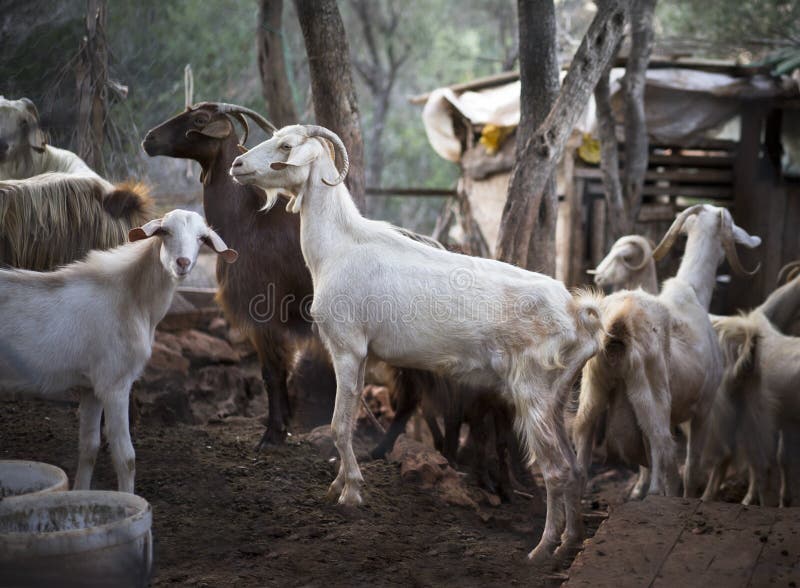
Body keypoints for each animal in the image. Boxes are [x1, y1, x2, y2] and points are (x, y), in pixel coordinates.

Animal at [0, 210, 237, 492]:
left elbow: (89, 447)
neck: (131, 298)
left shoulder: (91, 387)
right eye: (165, 231)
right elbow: (126, 458)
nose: (182, 262)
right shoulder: (114, 384)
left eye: (202, 238)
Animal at [231, 124, 602, 565]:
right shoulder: (360, 355)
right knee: (575, 469)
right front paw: (338, 486)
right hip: (557, 396)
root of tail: (578, 313)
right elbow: (348, 422)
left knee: (556, 469)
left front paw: (351, 493)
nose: (237, 164)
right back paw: (571, 542)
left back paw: (544, 549)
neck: (340, 246)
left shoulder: (347, 348)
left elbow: (339, 425)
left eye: (286, 146)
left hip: (533, 392)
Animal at [574, 204, 761, 499]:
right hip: (652, 395)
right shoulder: (703, 408)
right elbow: (691, 467)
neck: (693, 293)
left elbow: (657, 466)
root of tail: (619, 320)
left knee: (580, 462)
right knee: (662, 452)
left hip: (593, 390)